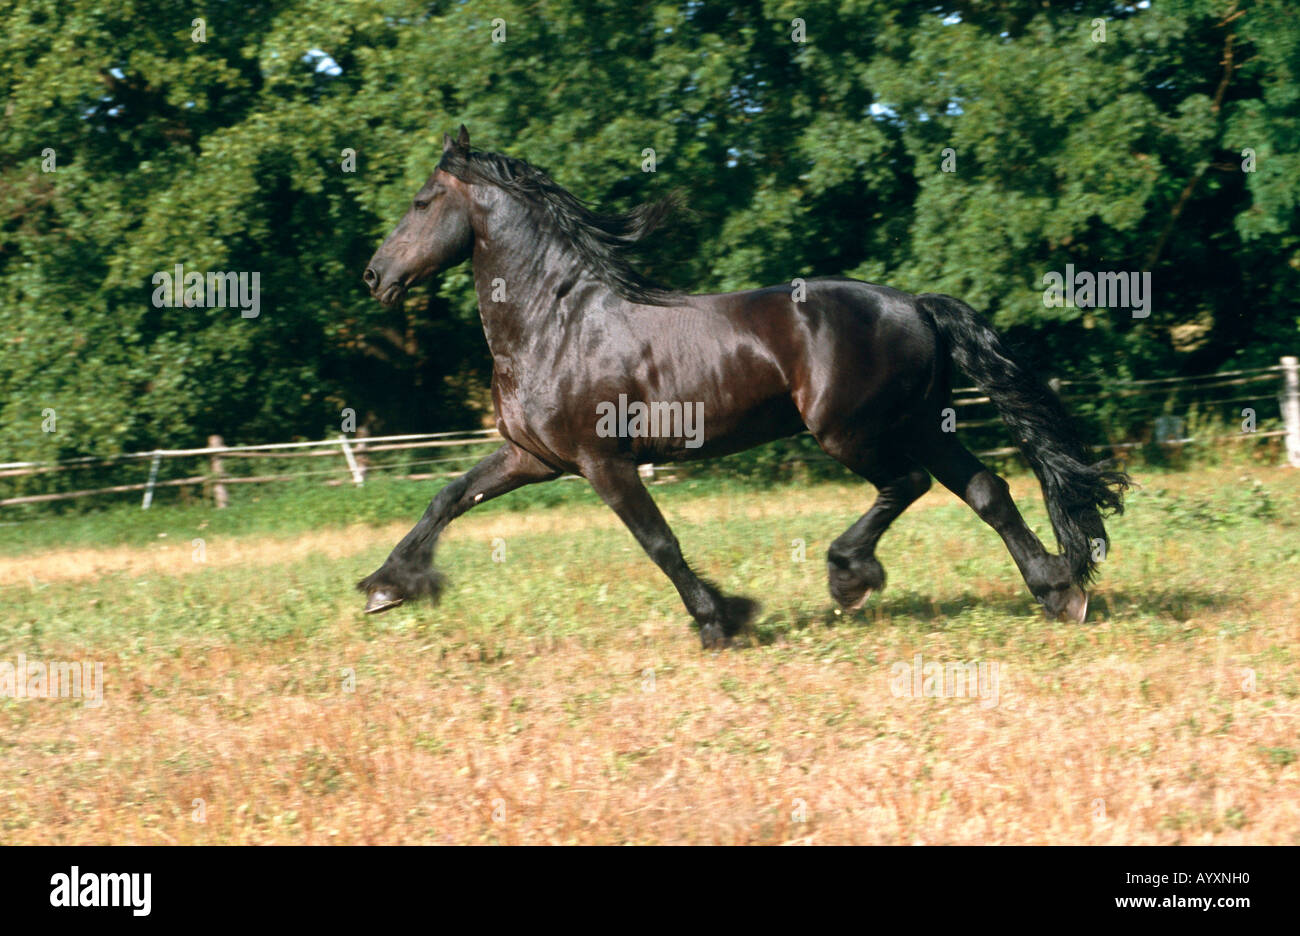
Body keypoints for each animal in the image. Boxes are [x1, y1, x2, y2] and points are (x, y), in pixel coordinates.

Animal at [358, 126, 1128, 648]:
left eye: (422, 201)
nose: (374, 276)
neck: (558, 321)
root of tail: (916, 303)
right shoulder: (533, 457)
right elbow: (447, 497)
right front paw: (385, 587)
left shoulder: (603, 463)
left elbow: (660, 543)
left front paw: (722, 619)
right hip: (920, 422)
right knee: (986, 491)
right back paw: (1058, 591)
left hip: (849, 431)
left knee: (907, 484)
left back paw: (849, 575)